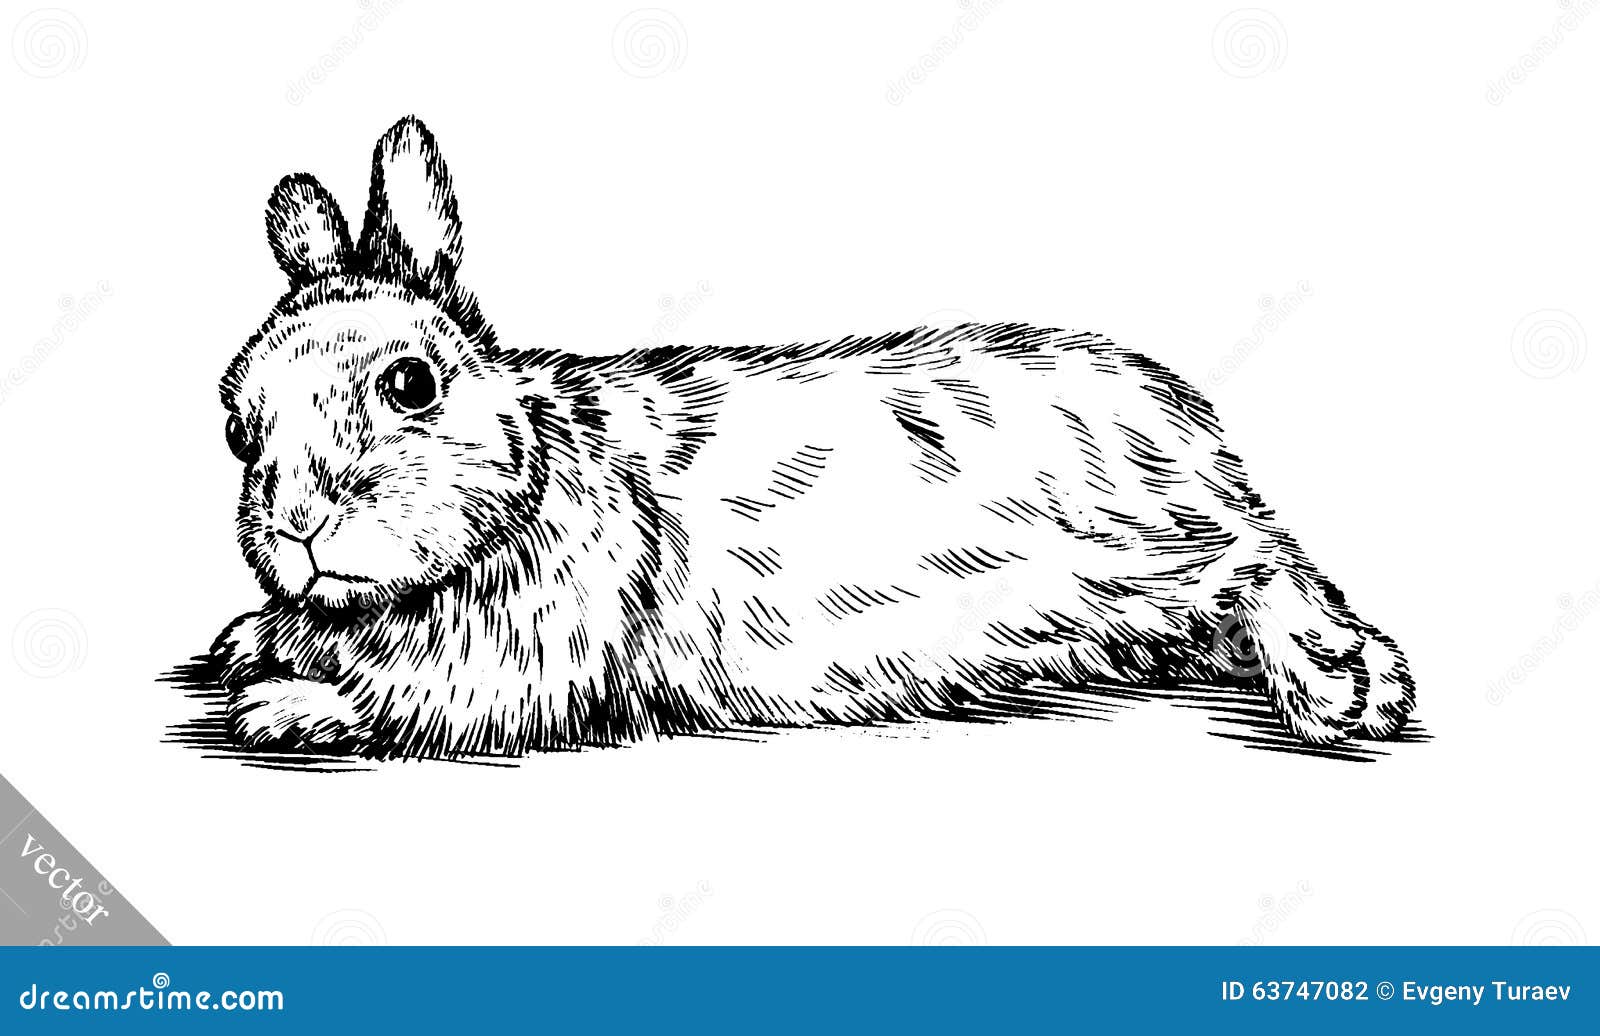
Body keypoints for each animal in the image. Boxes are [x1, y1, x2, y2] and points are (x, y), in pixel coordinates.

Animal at [210, 116, 1415, 759]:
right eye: (237, 423)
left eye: (410, 383)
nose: (295, 526)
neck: (536, 467)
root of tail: (1186, 424)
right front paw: (250, 641)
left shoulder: (527, 659)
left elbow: (417, 705)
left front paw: (284, 704)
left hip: (1144, 550)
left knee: (1263, 567)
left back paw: (1344, 687)